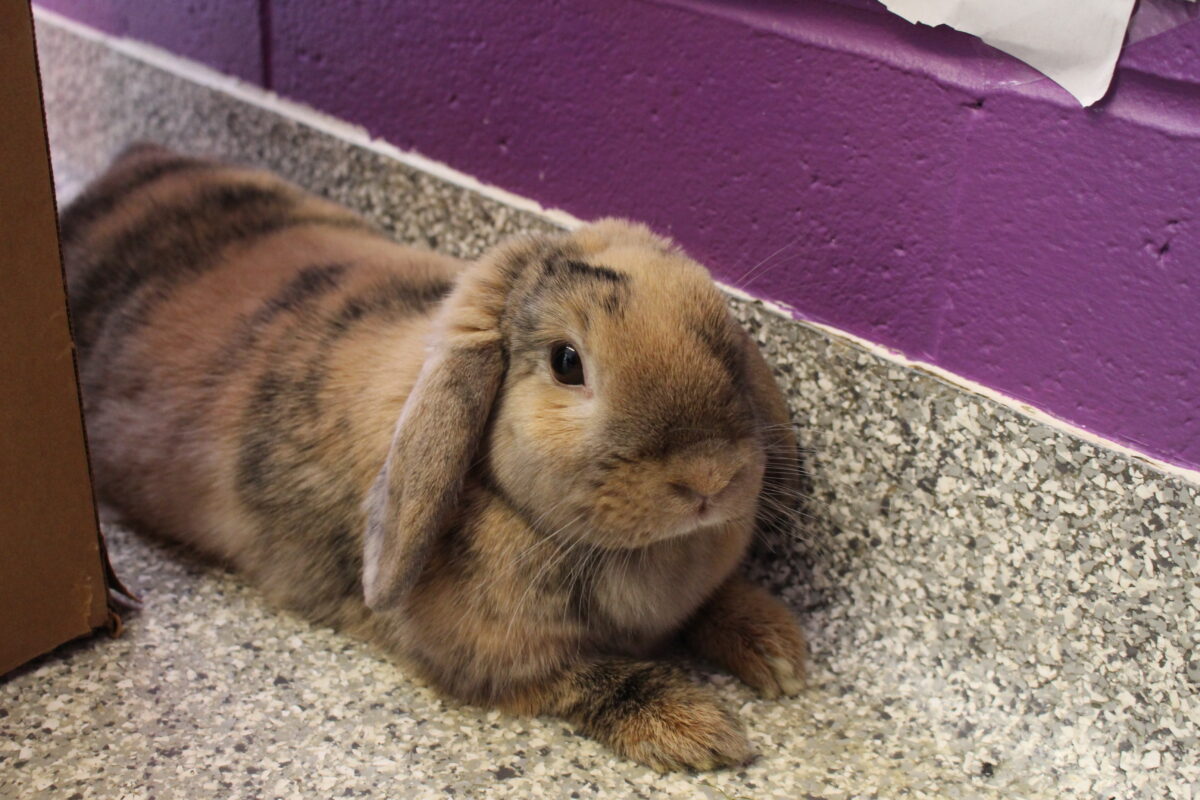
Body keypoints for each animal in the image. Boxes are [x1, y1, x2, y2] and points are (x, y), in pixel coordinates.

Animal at [60, 143, 808, 772]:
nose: (710, 478)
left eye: (720, 336)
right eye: (568, 363)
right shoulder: (496, 665)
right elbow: (598, 679)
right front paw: (701, 733)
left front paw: (780, 653)